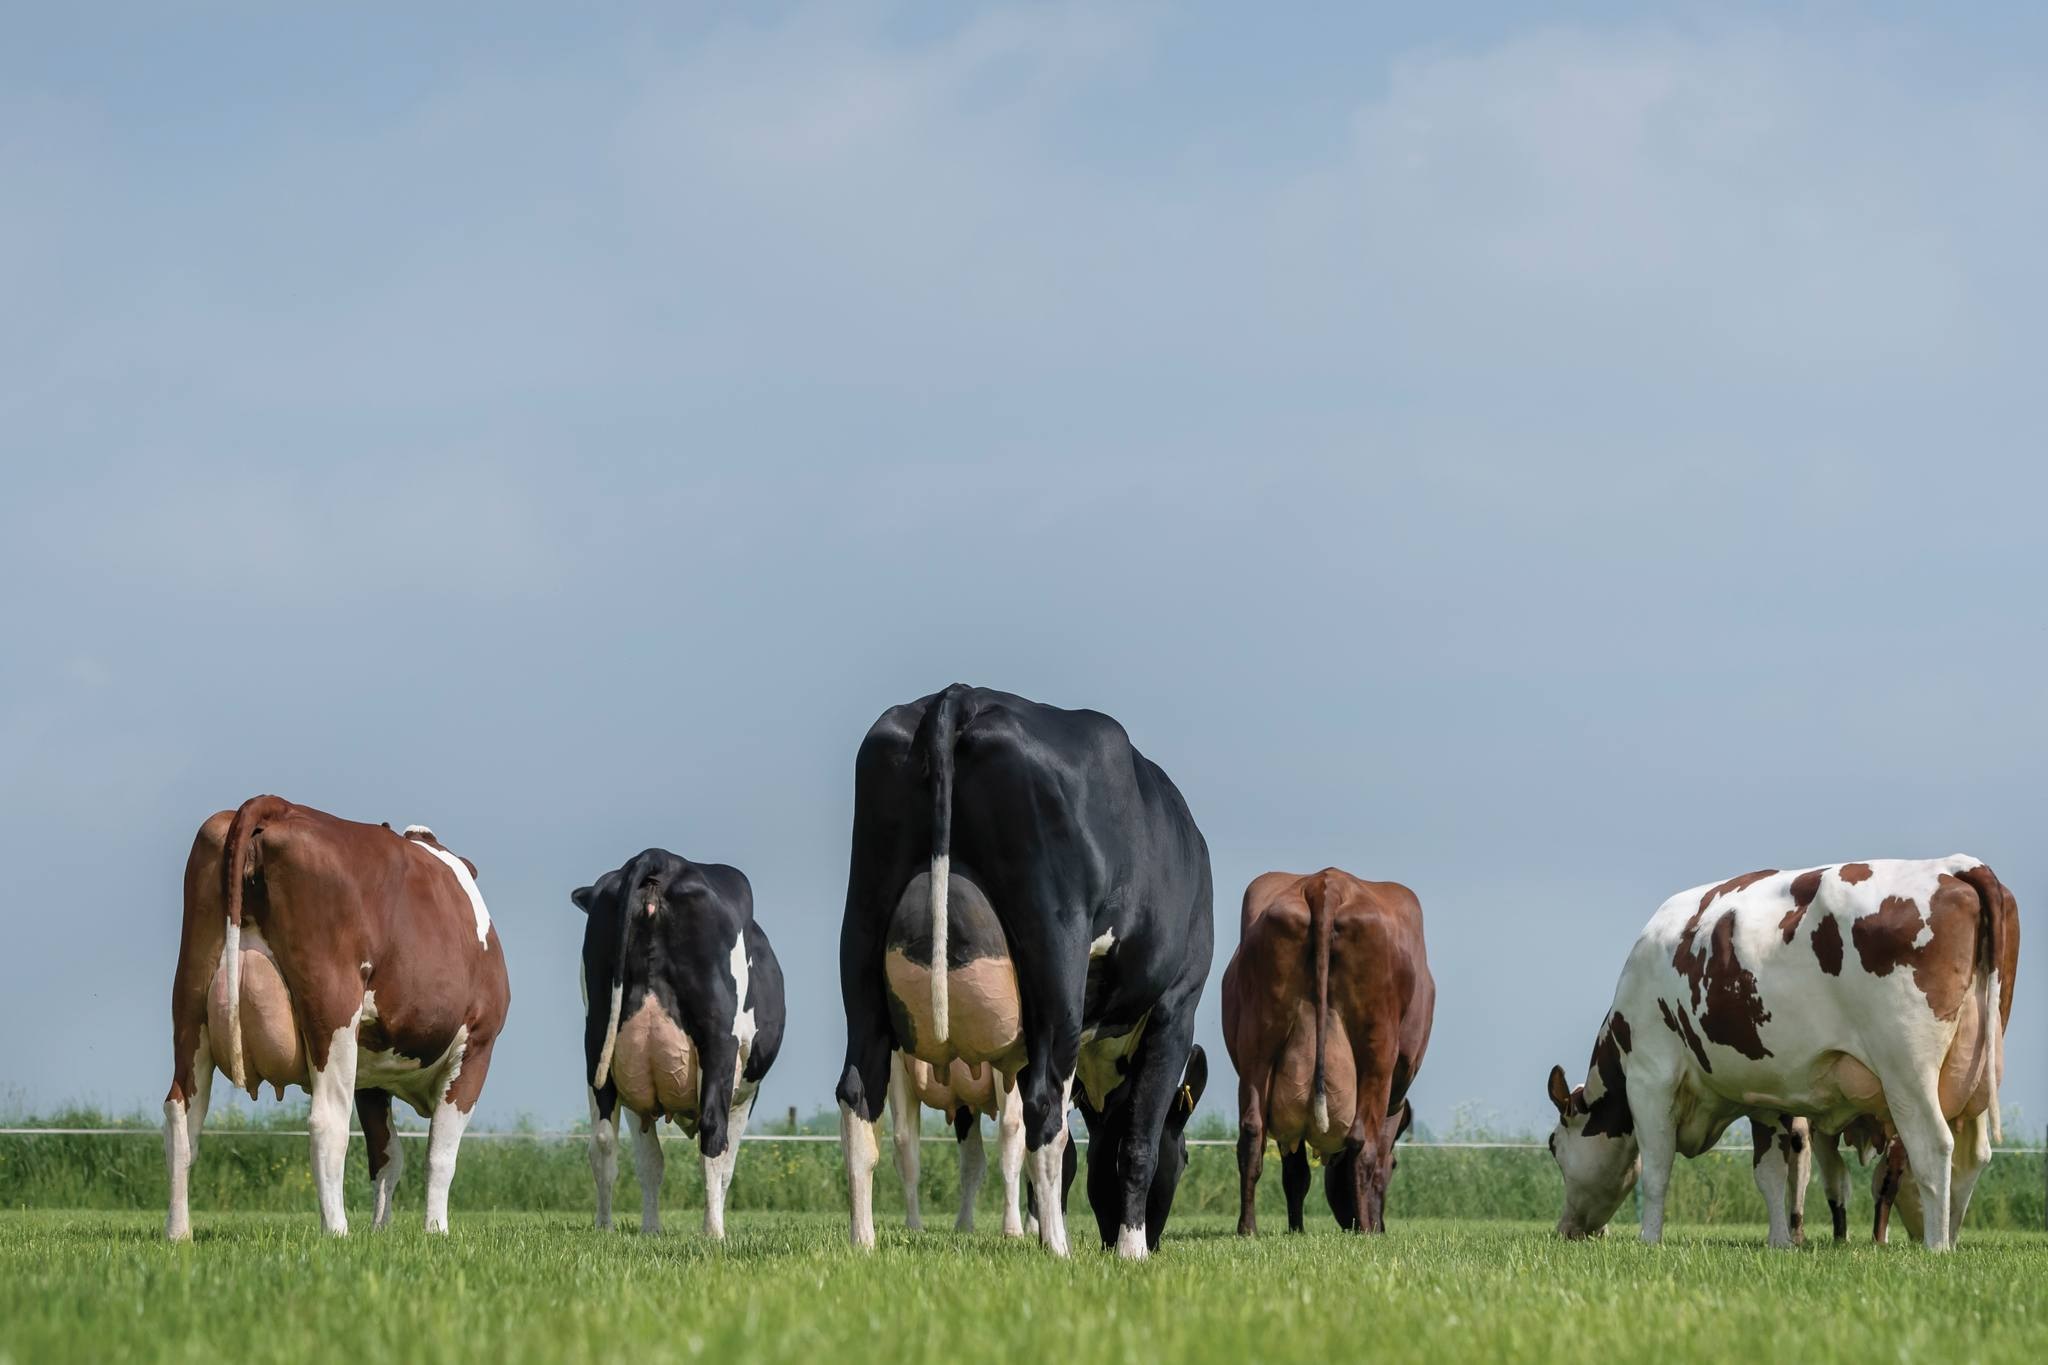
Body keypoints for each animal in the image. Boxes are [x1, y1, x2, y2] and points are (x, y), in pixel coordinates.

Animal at [163, 796, 511, 1240]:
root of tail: (279, 805)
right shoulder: (477, 1047)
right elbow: (440, 1152)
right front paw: (436, 1230)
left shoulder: (373, 1075)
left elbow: (387, 1157)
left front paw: (381, 1230)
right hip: (332, 1012)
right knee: (326, 1121)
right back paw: (337, 1229)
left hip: (190, 1005)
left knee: (183, 1114)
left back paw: (179, 1232)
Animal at [575, 849, 785, 1240]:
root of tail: (659, 856)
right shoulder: (745, 1094)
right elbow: (725, 1165)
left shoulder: (633, 1092)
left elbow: (649, 1162)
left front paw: (650, 1230)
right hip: (719, 1041)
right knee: (713, 1136)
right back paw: (714, 1233)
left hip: (599, 1041)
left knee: (602, 1141)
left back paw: (604, 1227)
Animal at [1222, 869, 1433, 1235]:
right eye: (1396, 1166)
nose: (1382, 1225)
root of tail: (1326, 883)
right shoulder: (1392, 1100)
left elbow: (1295, 1174)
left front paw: (1296, 1229)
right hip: (1377, 1053)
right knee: (1363, 1145)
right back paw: (1365, 1231)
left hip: (1257, 1046)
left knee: (1251, 1132)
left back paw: (1247, 1228)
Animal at [1547, 857, 2017, 1251]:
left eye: (1553, 1146)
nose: (1566, 1229)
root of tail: (1953, 866)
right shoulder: (1765, 1098)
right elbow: (1771, 1173)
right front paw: (1780, 1242)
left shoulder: (1650, 1077)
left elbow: (1657, 1166)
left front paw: (1649, 1240)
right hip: (1975, 1072)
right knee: (1971, 1158)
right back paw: (1951, 1239)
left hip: (1908, 1070)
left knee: (1933, 1145)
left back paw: (1935, 1248)